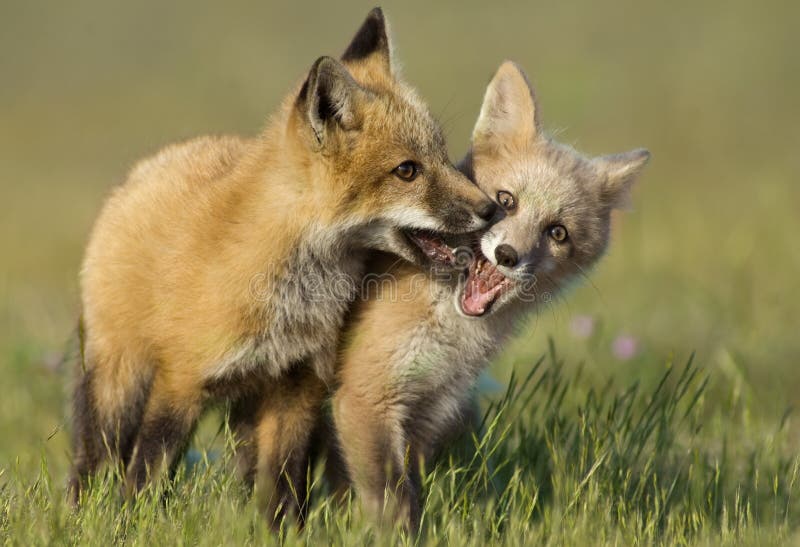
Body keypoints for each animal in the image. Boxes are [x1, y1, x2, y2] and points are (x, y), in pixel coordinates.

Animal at [69, 7, 496, 522]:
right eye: (408, 170)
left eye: (442, 156)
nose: (493, 209)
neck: (289, 297)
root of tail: (152, 163)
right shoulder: (180, 381)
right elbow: (147, 470)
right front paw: (131, 524)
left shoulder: (298, 386)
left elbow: (284, 487)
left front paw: (280, 531)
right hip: (119, 380)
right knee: (97, 457)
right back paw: (77, 515)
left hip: (245, 409)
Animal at [284, 61, 651, 530]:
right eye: (506, 201)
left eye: (558, 233)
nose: (508, 255)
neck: (452, 333)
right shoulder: (364, 398)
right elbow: (390, 502)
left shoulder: (427, 410)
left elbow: (400, 494)